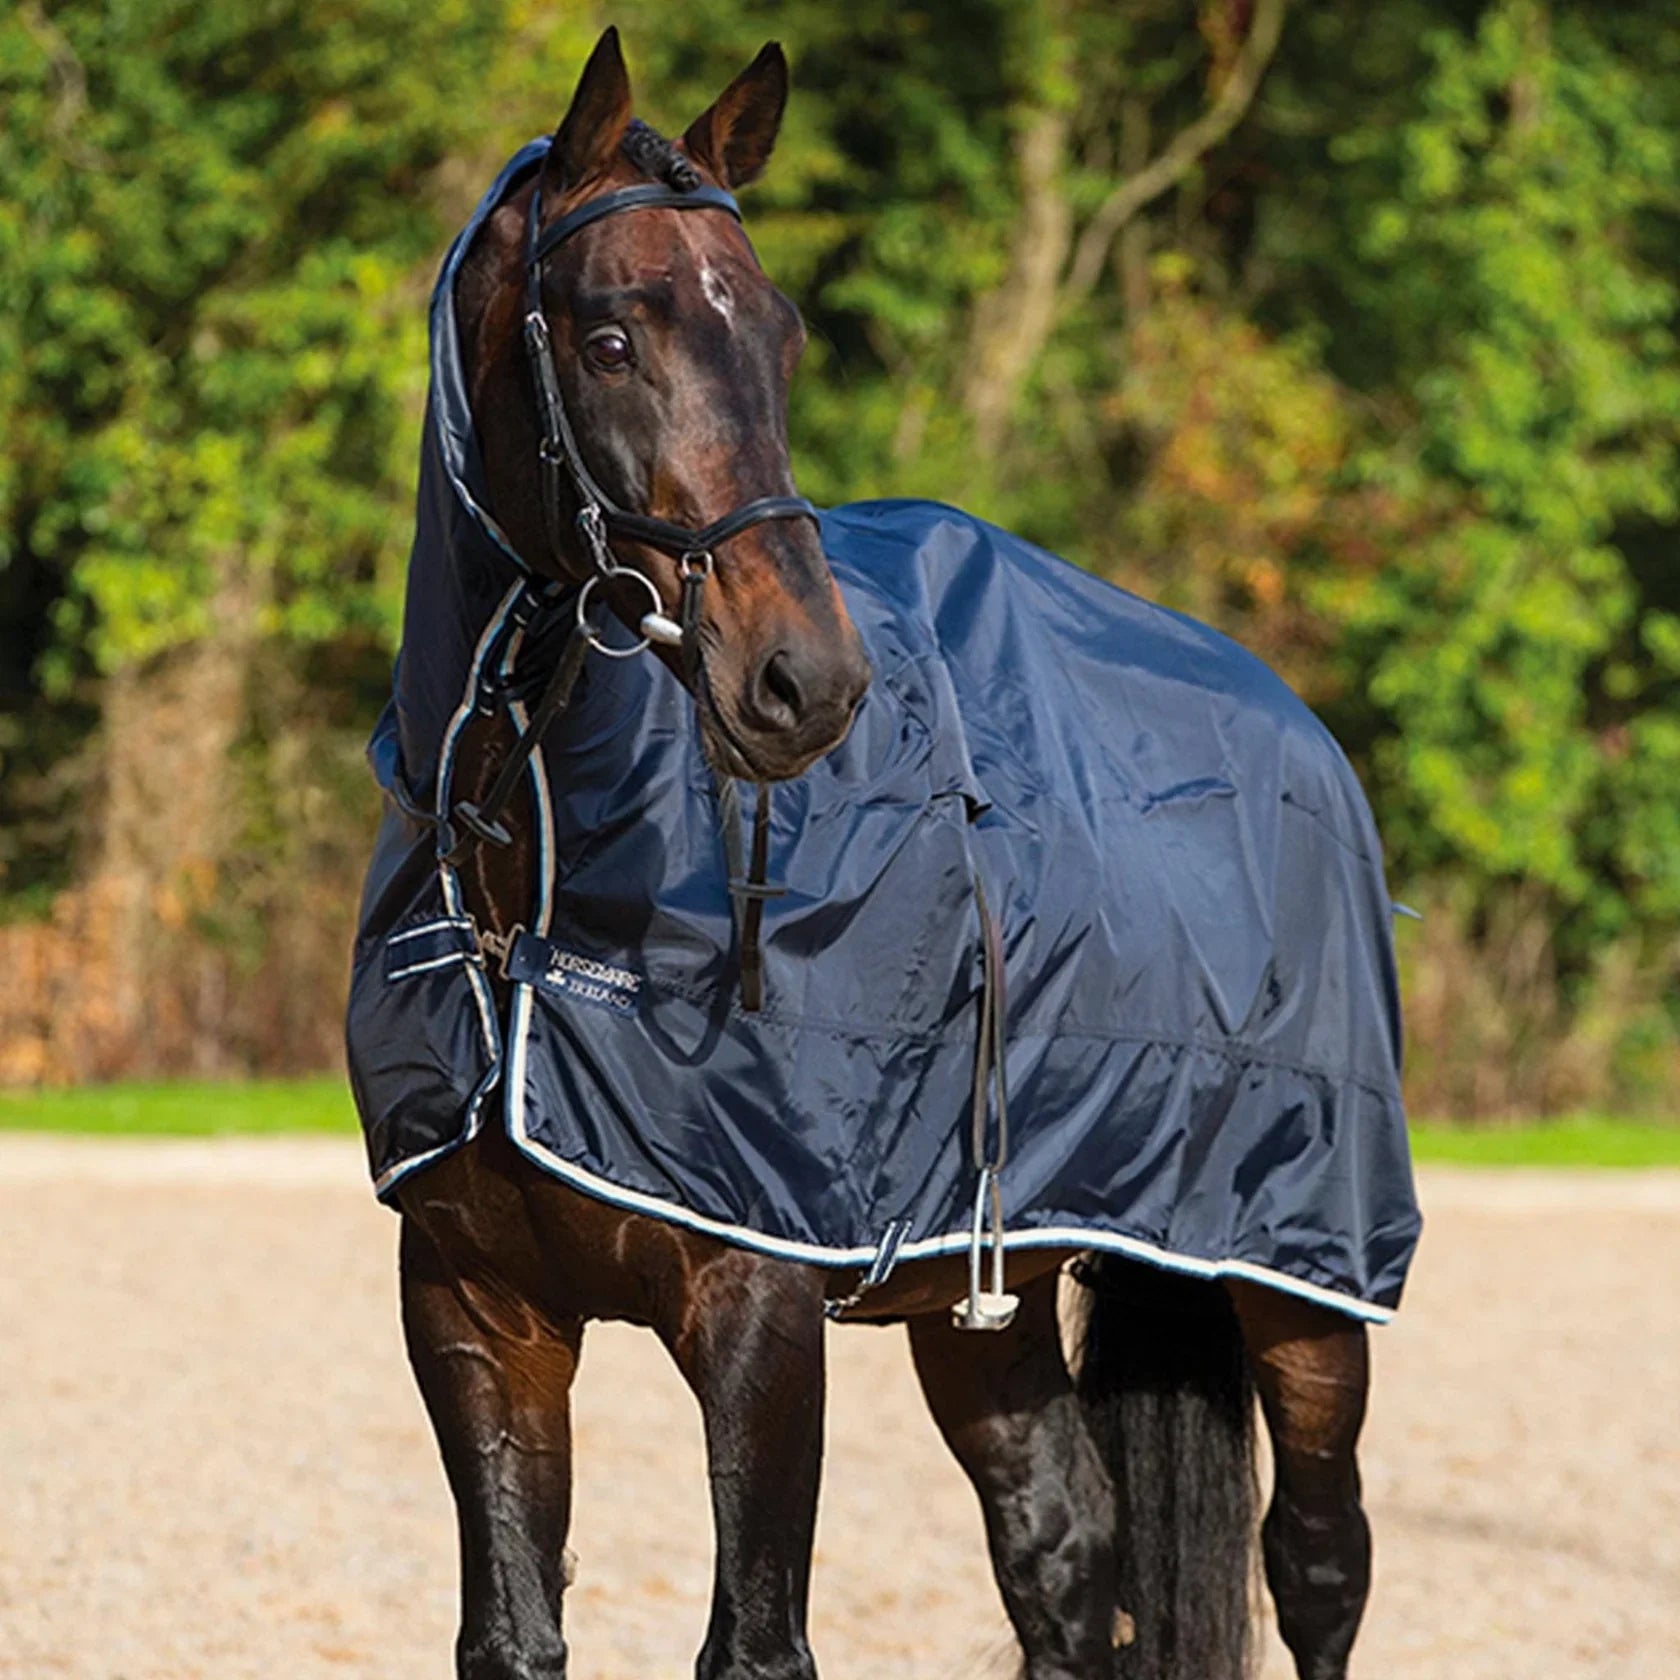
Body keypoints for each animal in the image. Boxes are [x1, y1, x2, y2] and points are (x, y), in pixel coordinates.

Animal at [360, 29, 1396, 1680]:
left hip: (1298, 1282)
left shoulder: (758, 1307)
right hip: (994, 1293)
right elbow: (512, 1634)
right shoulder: (473, 1310)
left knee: (1315, 1566)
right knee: (1063, 1549)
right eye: (608, 335)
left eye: (780, 337)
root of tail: (1289, 718)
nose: (806, 682)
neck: (531, 896)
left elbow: (756, 1639)